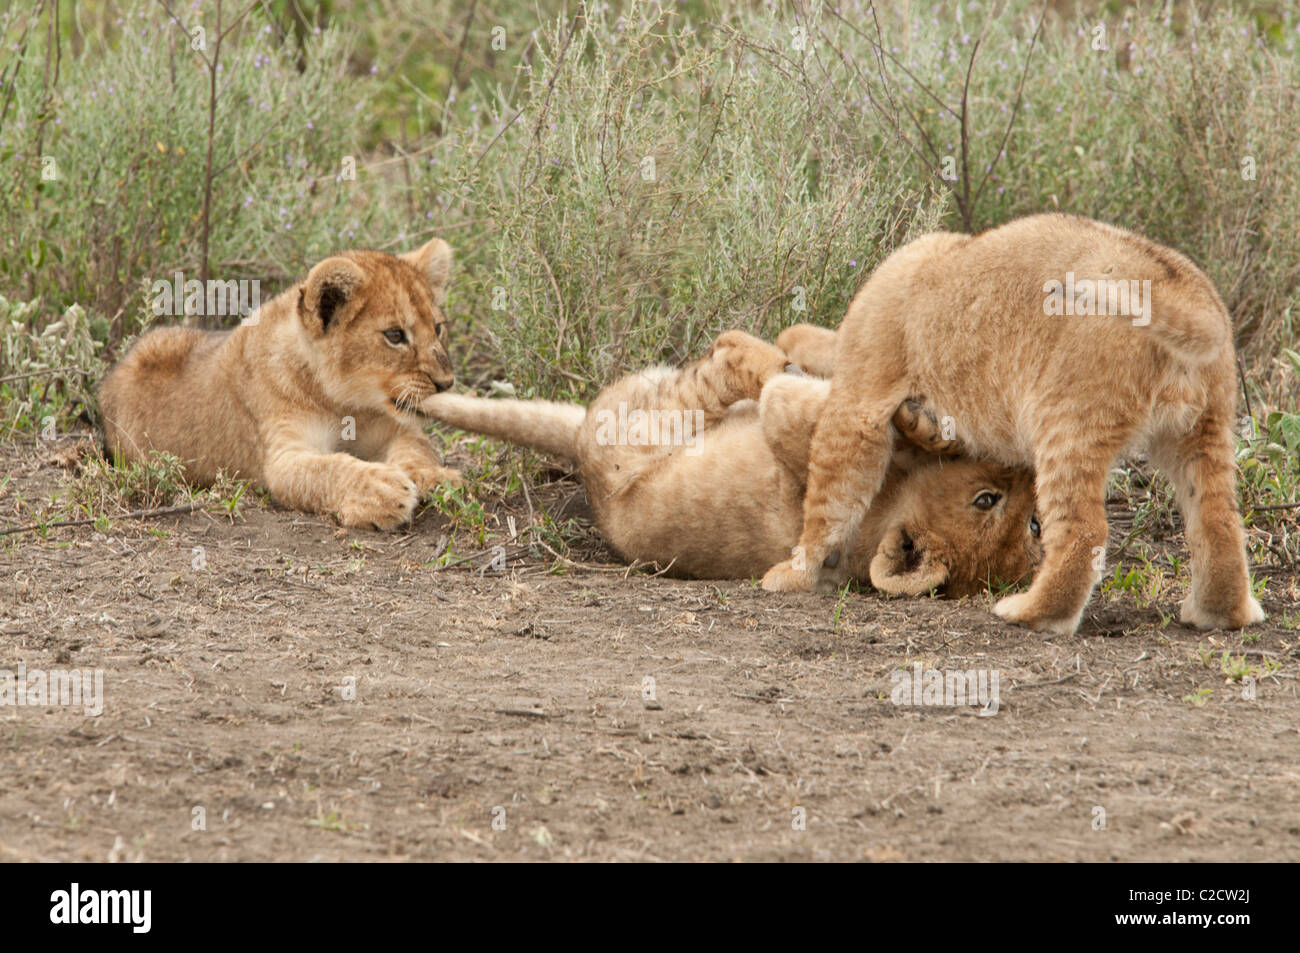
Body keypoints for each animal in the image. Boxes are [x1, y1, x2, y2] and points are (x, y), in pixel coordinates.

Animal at [98, 239, 462, 529]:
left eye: (438, 328)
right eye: (395, 335)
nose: (446, 383)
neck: (342, 402)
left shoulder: (391, 428)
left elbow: (416, 449)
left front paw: (438, 479)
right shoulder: (283, 457)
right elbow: (329, 470)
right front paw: (382, 489)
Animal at [419, 327, 1043, 597]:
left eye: (1031, 521)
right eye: (989, 501)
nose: (1031, 471)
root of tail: (577, 442)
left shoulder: (791, 425)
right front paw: (932, 424)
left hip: (662, 411)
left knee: (731, 355)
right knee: (758, 345)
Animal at [760, 213, 1264, 635]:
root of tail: (1182, 287)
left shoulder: (860, 397)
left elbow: (831, 495)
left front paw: (793, 572)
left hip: (1066, 420)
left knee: (1083, 531)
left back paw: (1033, 613)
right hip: (1204, 429)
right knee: (1218, 521)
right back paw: (1217, 613)